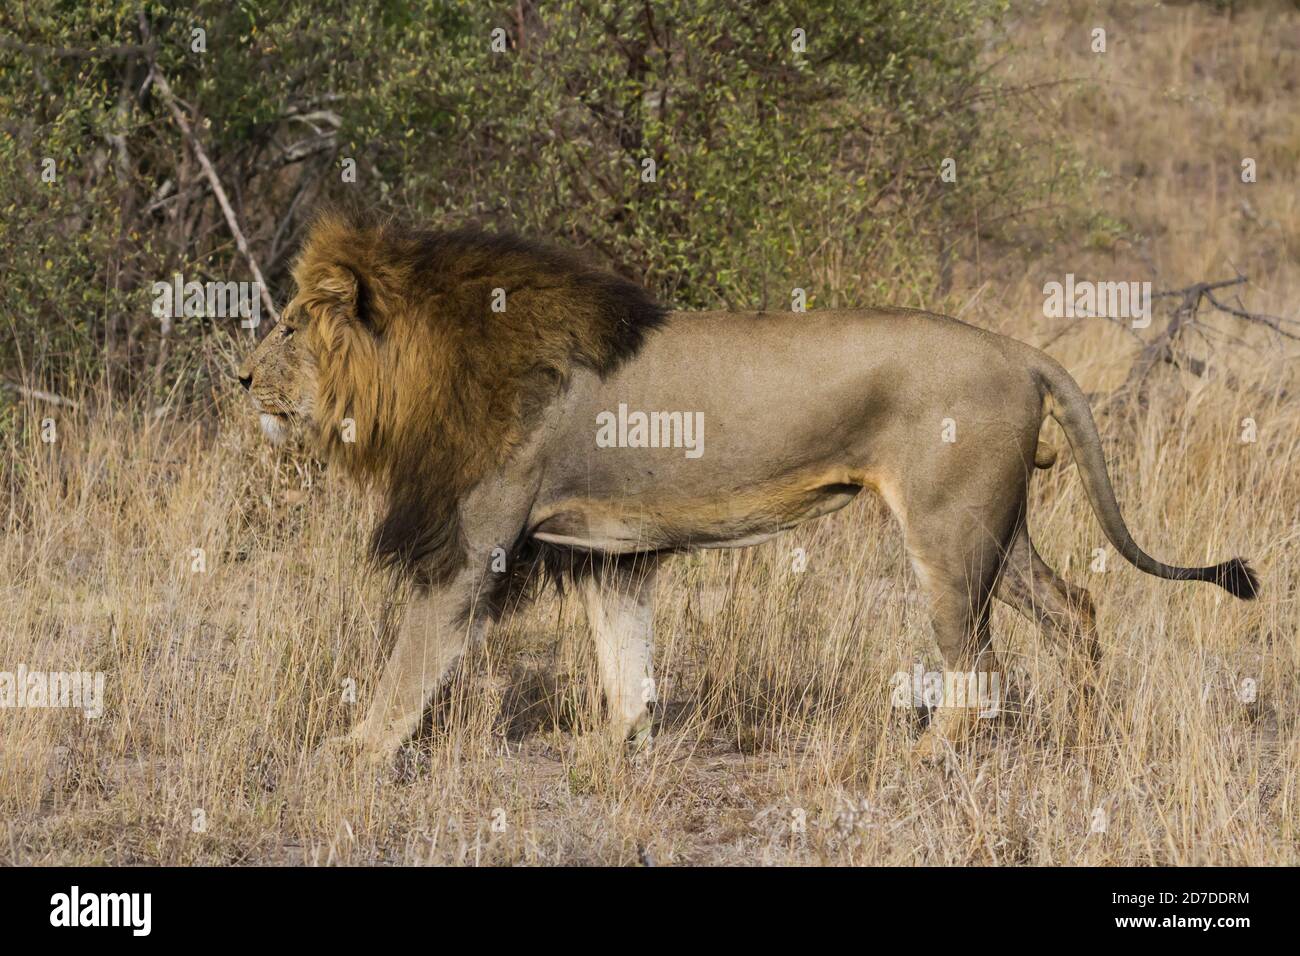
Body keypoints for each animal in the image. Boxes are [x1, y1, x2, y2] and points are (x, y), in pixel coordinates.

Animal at [238, 211, 1259, 765]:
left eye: (289, 328)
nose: (241, 380)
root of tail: (1020, 350)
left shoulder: (473, 544)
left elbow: (410, 662)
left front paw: (354, 752)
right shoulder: (607, 554)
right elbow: (625, 662)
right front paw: (610, 749)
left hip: (948, 534)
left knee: (979, 673)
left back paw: (922, 756)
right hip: (991, 535)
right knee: (1076, 608)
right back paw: (1087, 730)